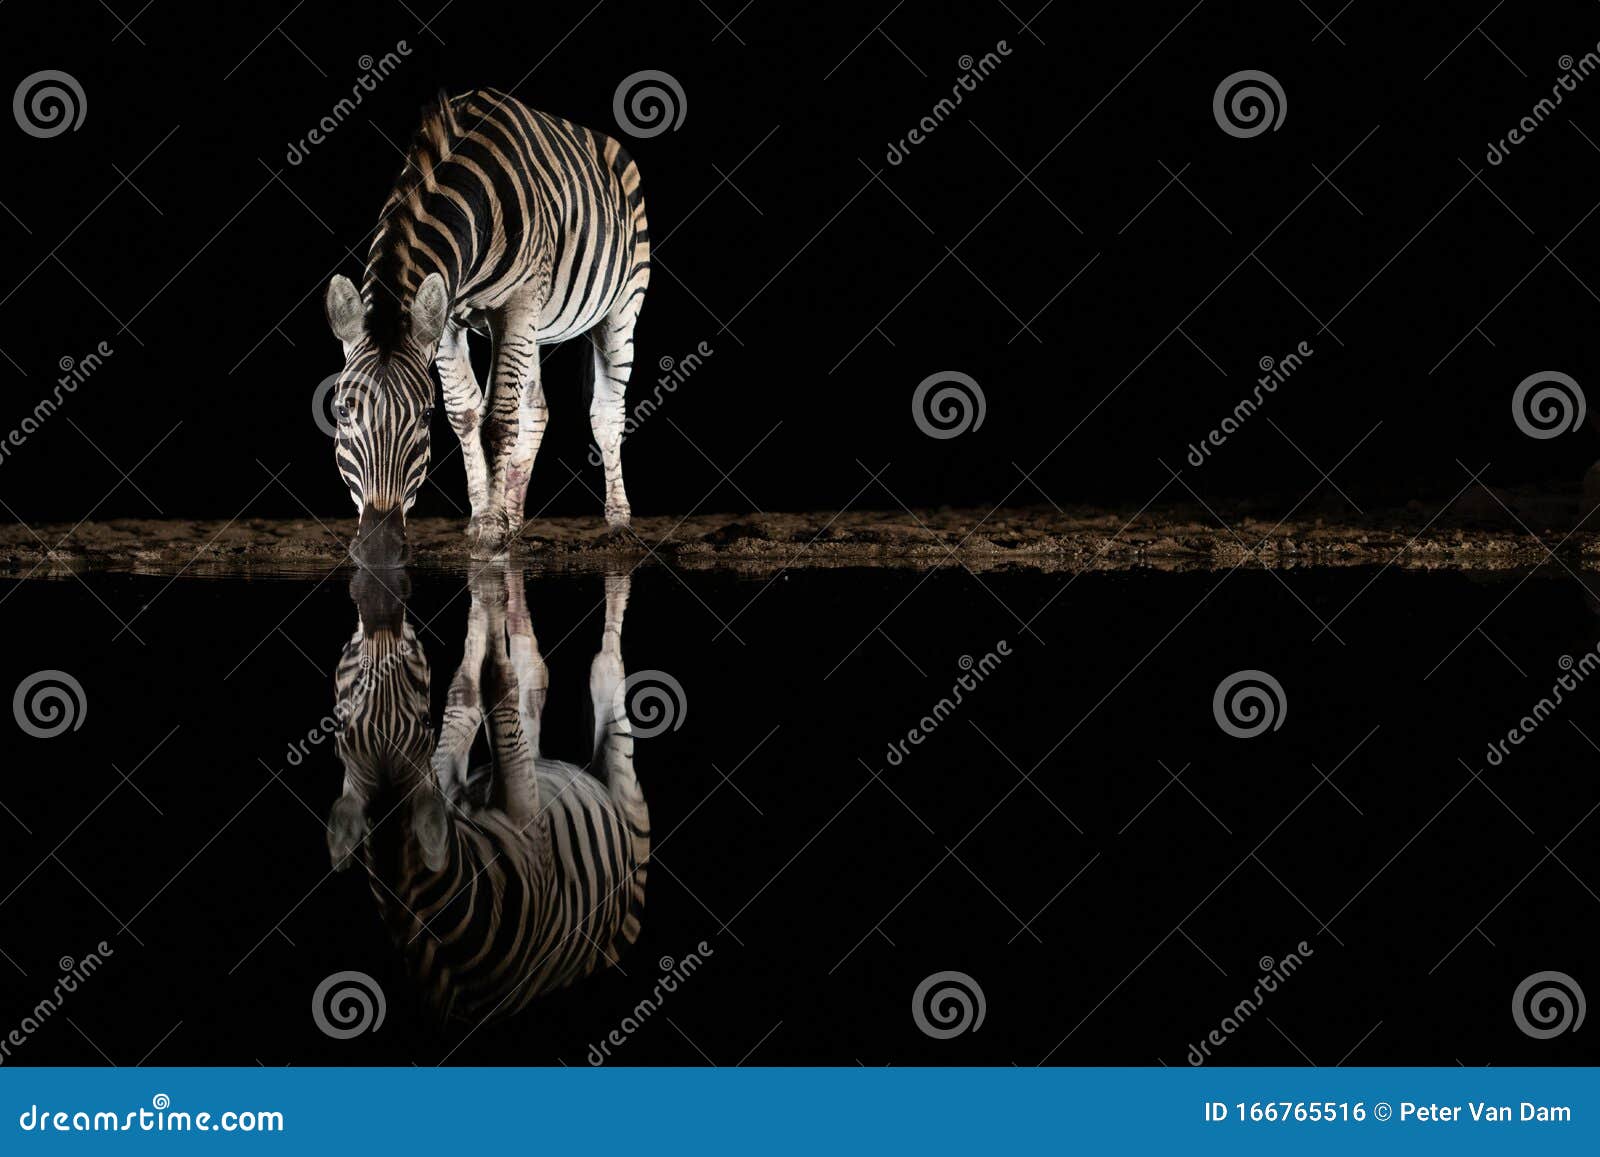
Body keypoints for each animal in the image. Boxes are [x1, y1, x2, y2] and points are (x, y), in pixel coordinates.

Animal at [324, 89, 651, 567]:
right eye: (343, 412)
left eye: (424, 416)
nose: (379, 551)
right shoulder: (446, 321)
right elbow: (466, 413)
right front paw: (485, 520)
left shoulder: (515, 304)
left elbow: (497, 420)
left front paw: (491, 535)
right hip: (537, 322)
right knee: (536, 409)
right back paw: (514, 517)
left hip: (623, 302)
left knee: (607, 412)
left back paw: (618, 525)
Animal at [326, 567, 649, 1023]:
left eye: (338, 729)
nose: (378, 611)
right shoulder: (527, 823)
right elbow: (490, 683)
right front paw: (490, 592)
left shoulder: (451, 786)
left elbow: (466, 690)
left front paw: (487, 587)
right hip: (619, 790)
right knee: (594, 669)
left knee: (536, 680)